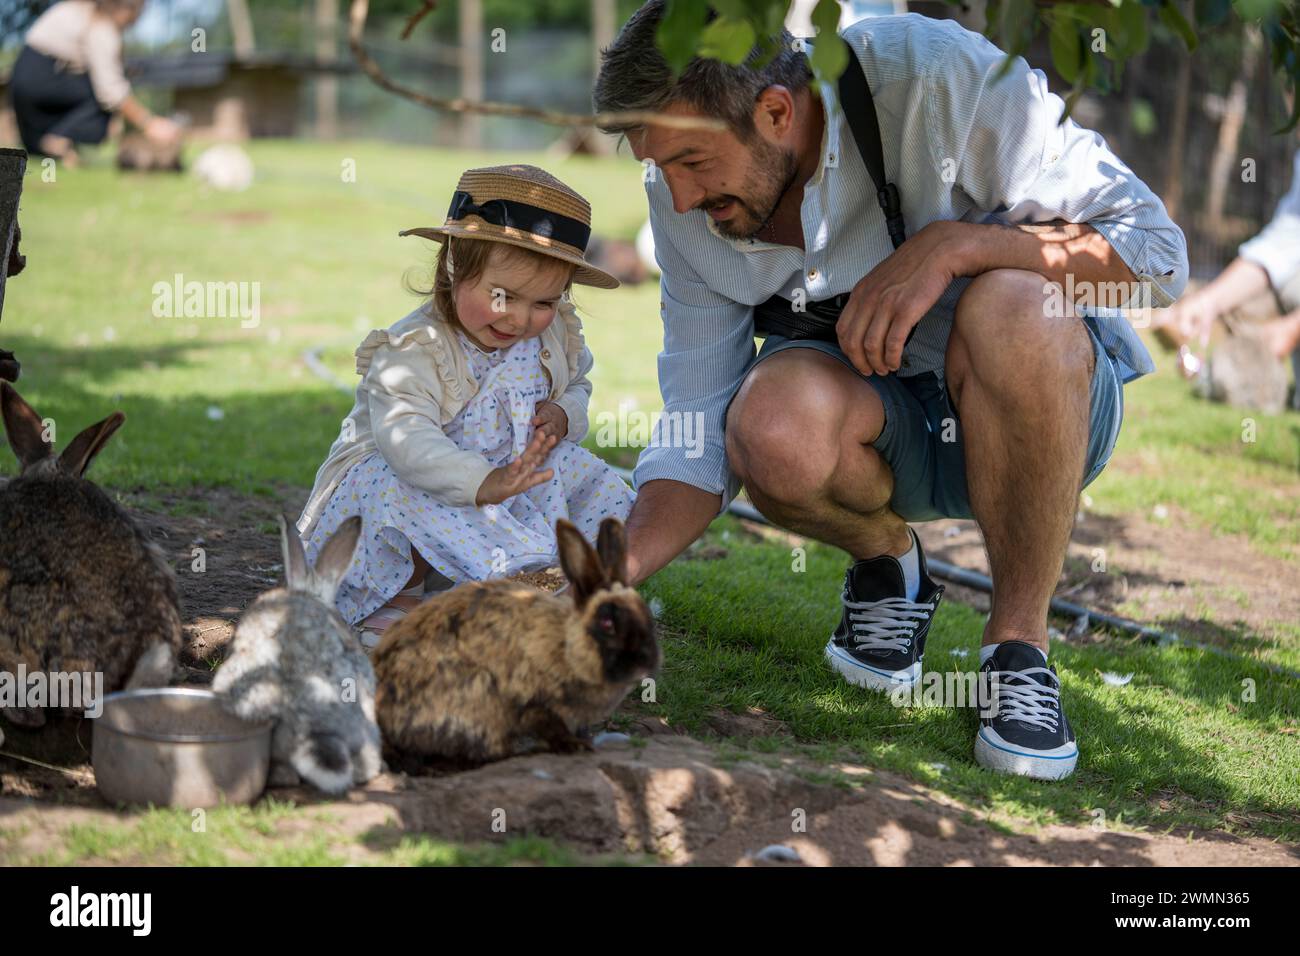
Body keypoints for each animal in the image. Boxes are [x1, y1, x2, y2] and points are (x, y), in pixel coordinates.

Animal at [373, 516, 659, 765]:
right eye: (607, 623)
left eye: (647, 616)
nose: (647, 664)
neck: (566, 644)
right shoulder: (535, 703)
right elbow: (551, 727)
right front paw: (576, 746)